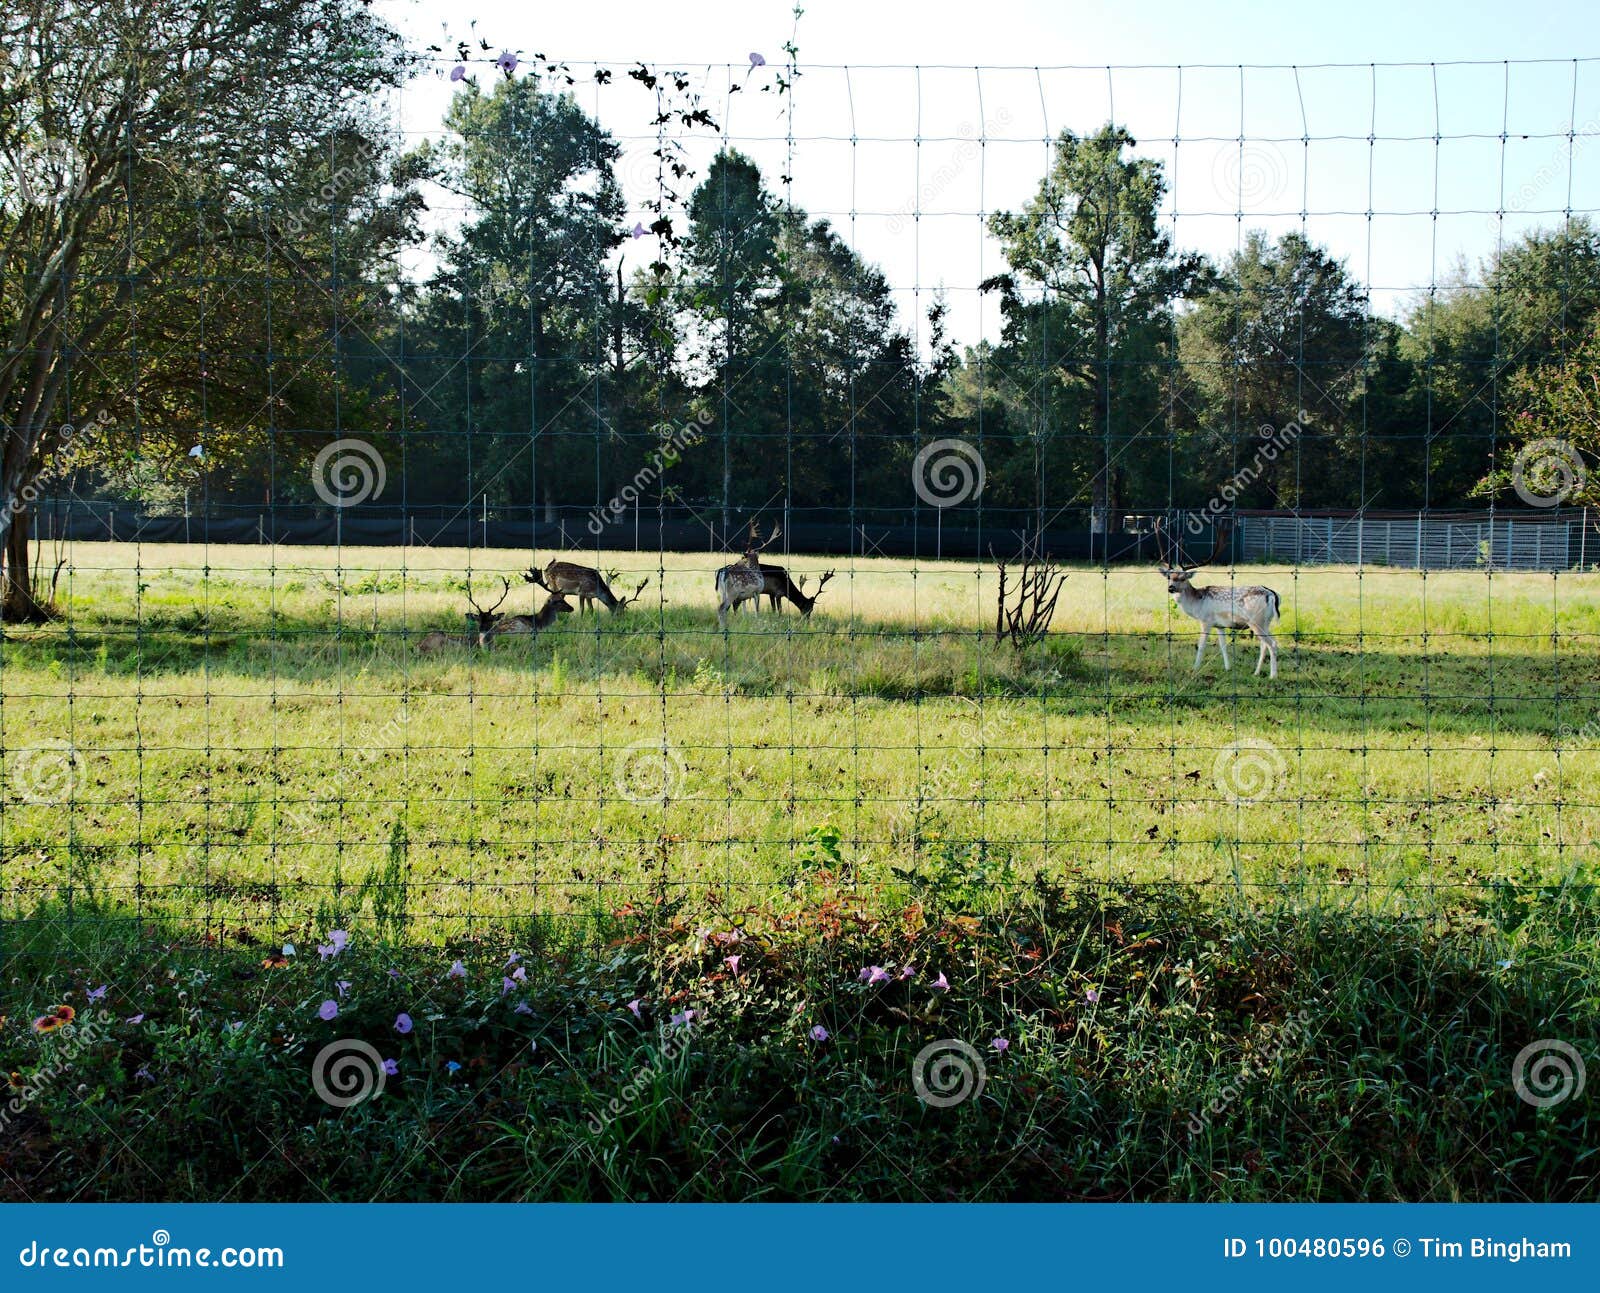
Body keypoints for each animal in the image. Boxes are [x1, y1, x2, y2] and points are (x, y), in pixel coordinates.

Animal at [1155, 518, 1282, 679]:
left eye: (1183, 578)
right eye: (1169, 577)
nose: (1170, 588)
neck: (1197, 603)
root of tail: (1271, 595)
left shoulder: (1206, 620)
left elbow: (1202, 645)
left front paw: (1195, 668)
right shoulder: (1220, 625)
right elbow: (1222, 645)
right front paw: (1228, 668)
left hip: (1256, 620)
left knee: (1272, 644)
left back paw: (1273, 676)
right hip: (1266, 621)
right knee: (1264, 644)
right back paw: (1257, 672)